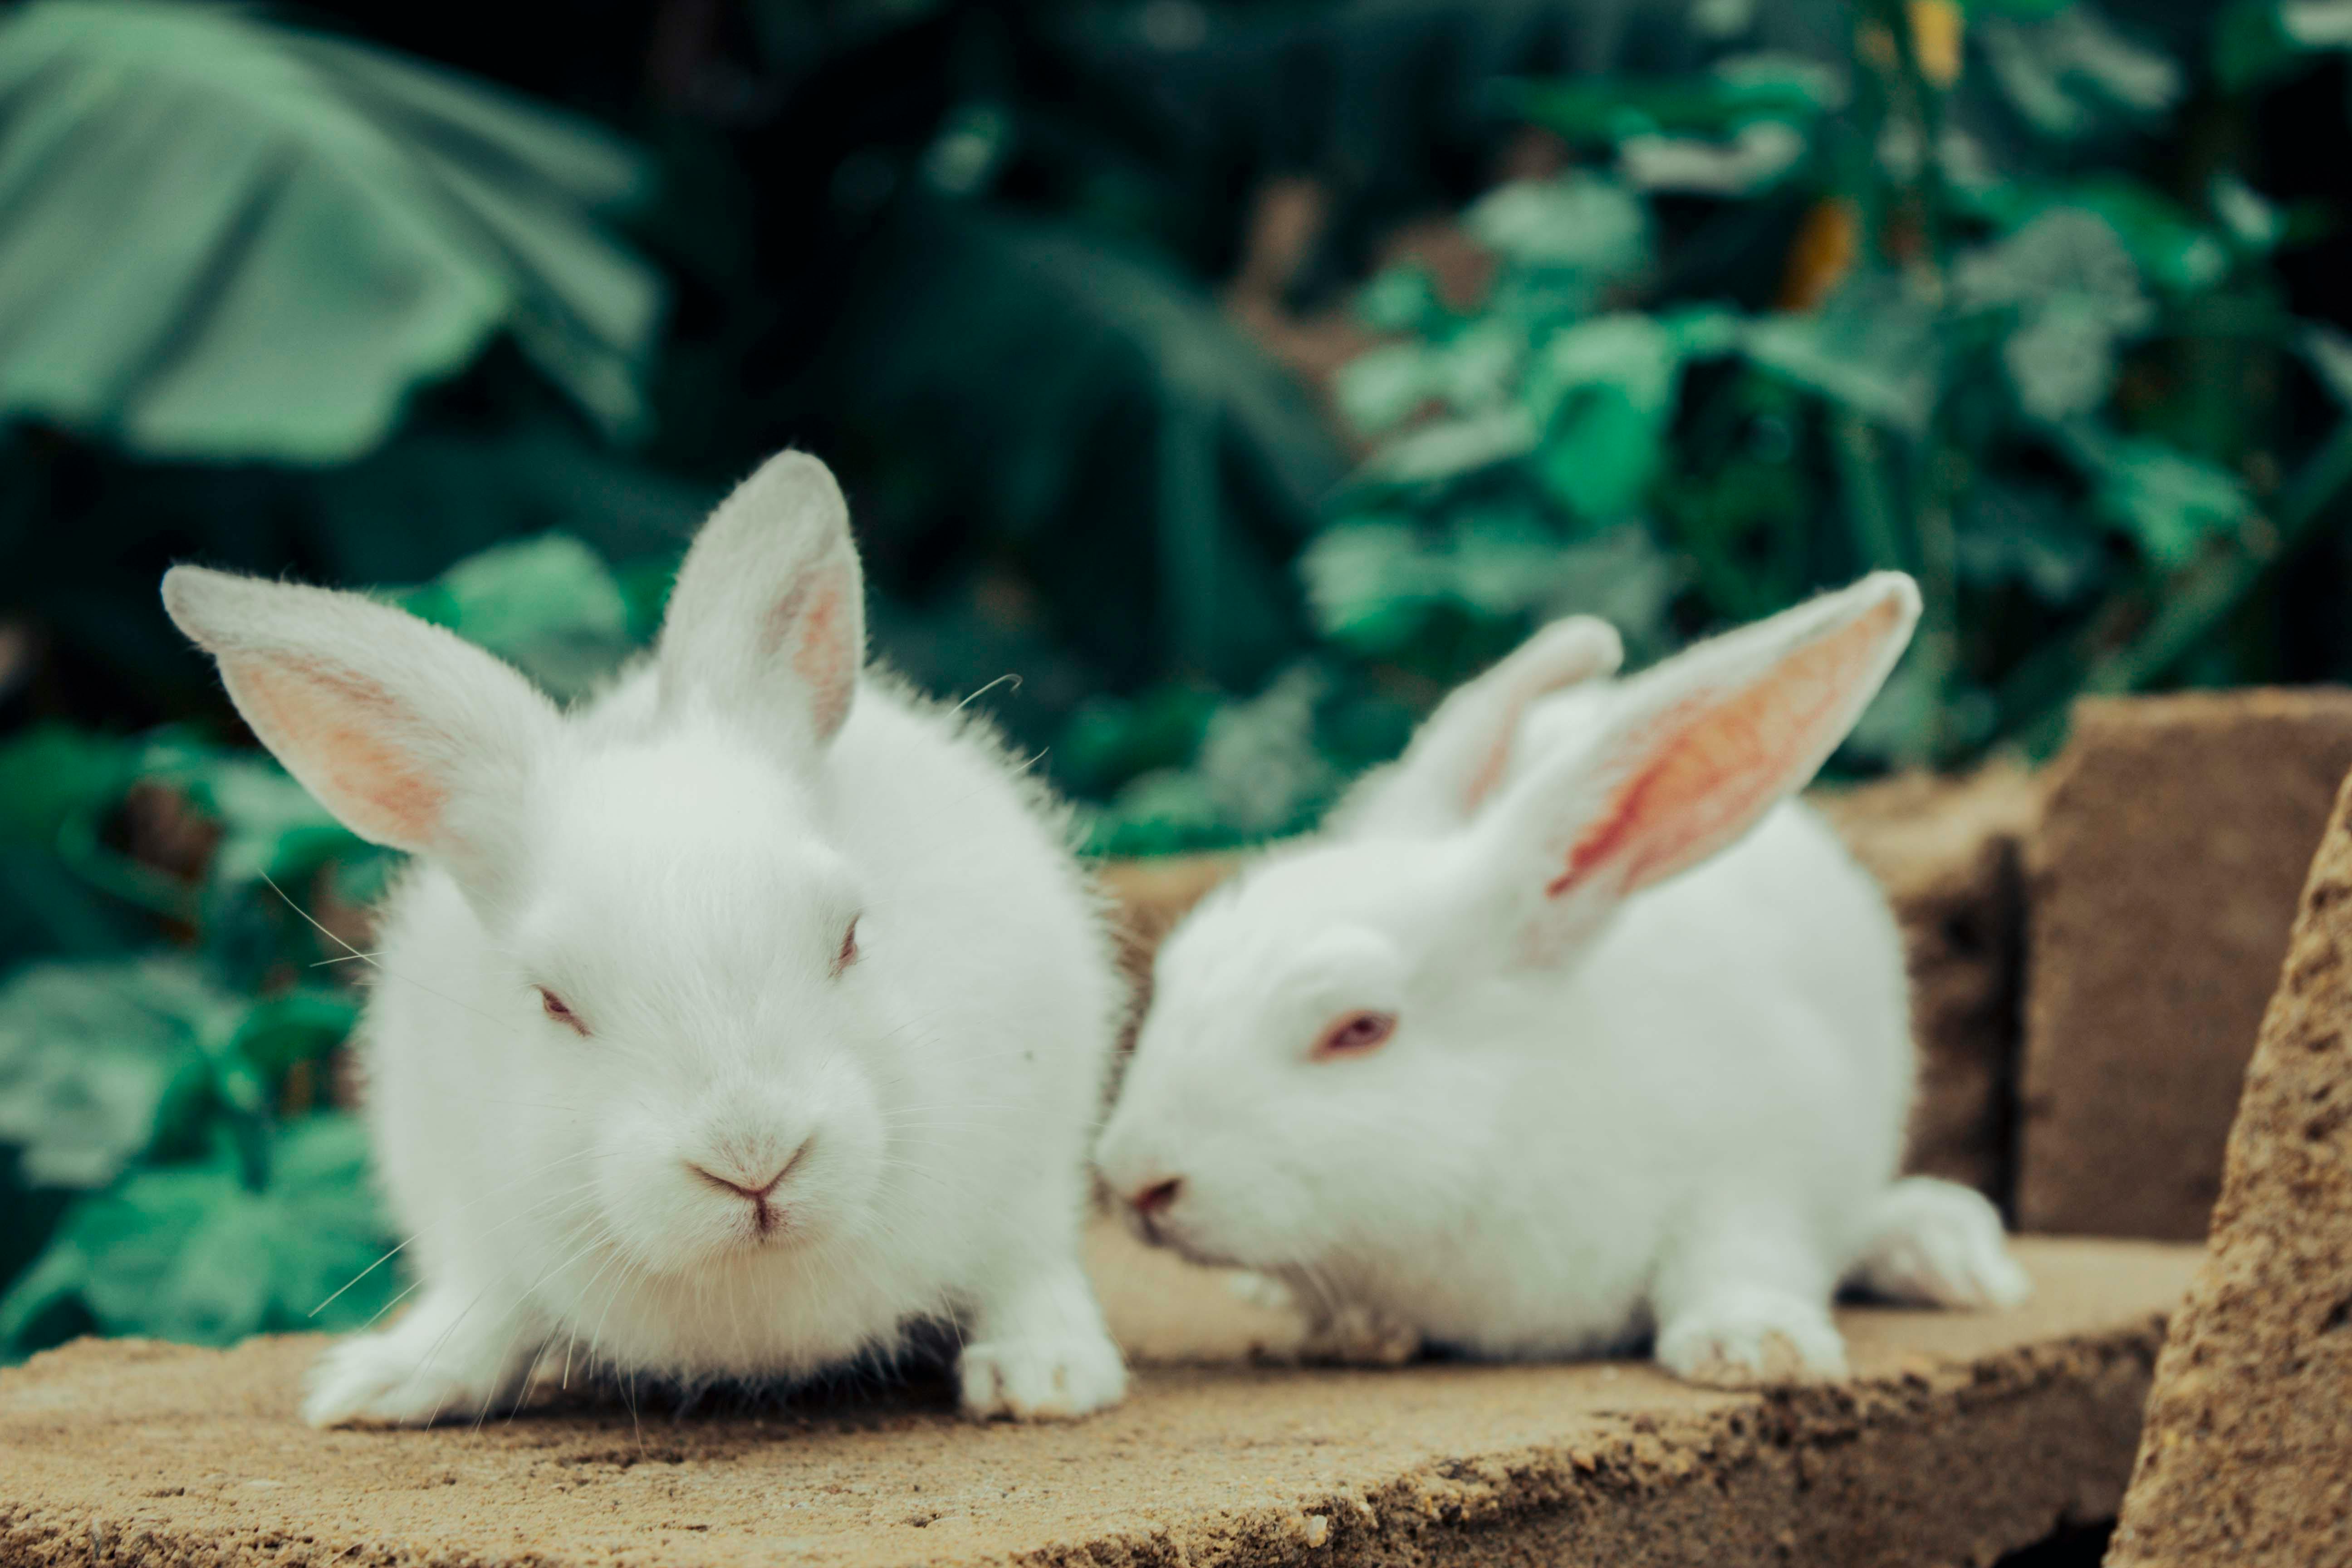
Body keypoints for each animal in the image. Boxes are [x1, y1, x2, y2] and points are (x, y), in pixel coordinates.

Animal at [162, 451, 1130, 1426]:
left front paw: (1047, 1378)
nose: (753, 1158)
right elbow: (483, 1307)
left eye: (849, 938)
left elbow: (1021, 1267)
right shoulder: (467, 1215)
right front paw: (385, 1385)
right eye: (552, 1002)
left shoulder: (1028, 1164)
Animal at [1094, 573, 2030, 1386]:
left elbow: (1740, 1250)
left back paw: (1944, 1255)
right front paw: (1357, 1330)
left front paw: (1752, 1349)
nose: (1137, 1180)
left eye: (1359, 1029)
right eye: (1171, 978)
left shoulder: (1760, 1161)